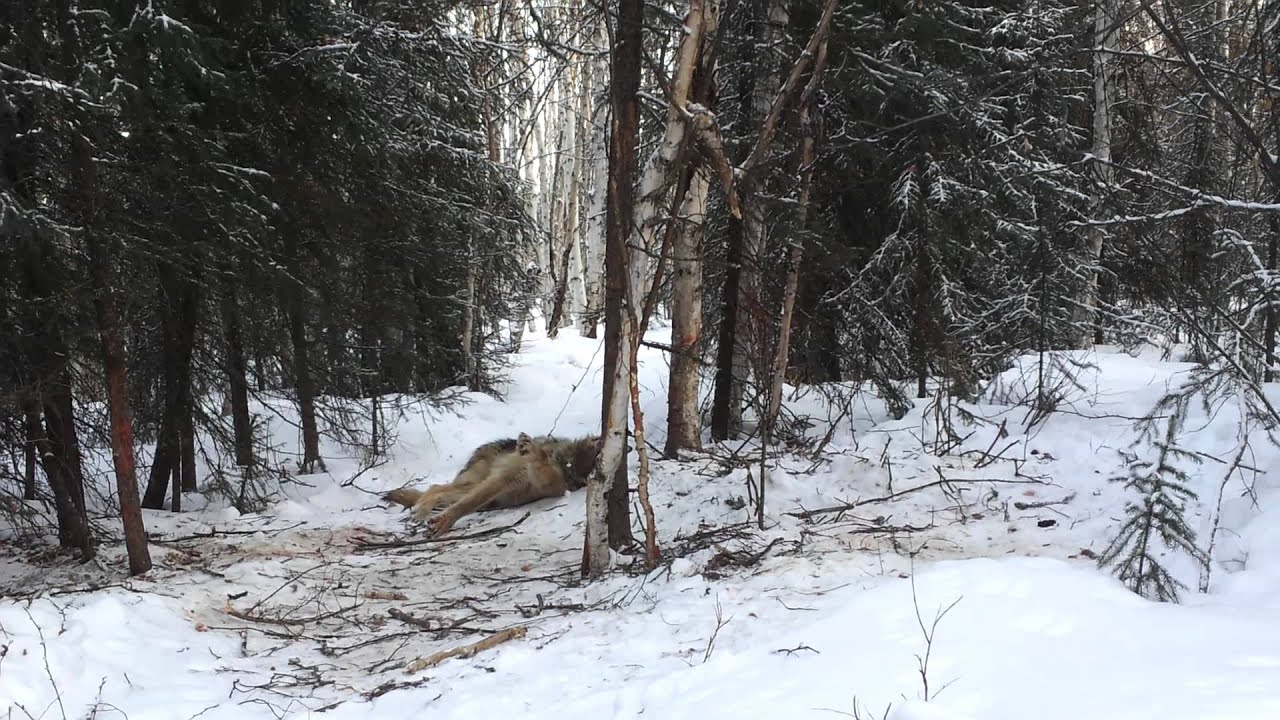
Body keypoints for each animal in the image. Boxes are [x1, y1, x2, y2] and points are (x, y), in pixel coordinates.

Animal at [383, 432, 601, 536]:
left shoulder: (548, 484)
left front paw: (444, 522)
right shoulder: (506, 477)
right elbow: (467, 504)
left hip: (481, 493)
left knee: (437, 490)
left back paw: (419, 510)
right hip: (475, 484)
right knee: (435, 488)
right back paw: (419, 510)